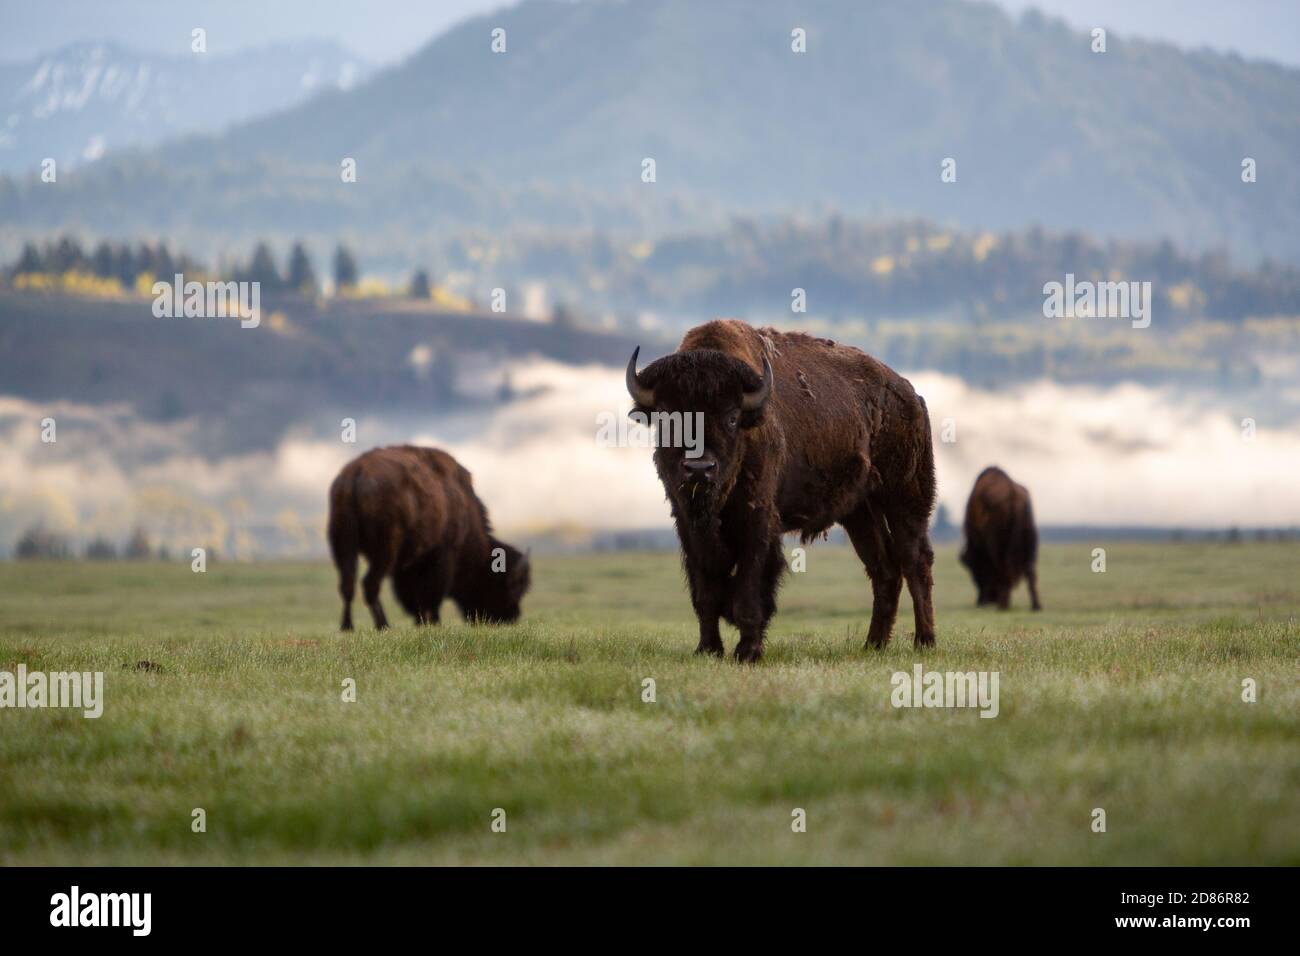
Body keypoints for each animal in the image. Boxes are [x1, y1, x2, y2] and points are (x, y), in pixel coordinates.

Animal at [327, 445, 530, 629]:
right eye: (513, 587)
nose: (511, 617)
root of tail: (356, 472)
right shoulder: (444, 556)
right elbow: (430, 594)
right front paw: (432, 622)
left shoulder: (408, 566)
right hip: (383, 552)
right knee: (369, 584)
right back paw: (383, 626)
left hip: (344, 545)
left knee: (347, 584)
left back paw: (347, 627)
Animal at [627, 319, 937, 661]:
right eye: (667, 417)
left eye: (732, 417)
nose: (699, 469)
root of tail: (911, 395)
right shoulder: (687, 523)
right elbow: (705, 593)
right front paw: (708, 649)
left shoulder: (758, 521)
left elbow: (750, 590)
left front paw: (748, 651)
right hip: (860, 512)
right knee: (884, 569)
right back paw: (873, 644)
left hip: (905, 497)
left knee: (915, 561)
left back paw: (924, 642)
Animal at [959, 466, 1041, 610]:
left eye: (973, 567)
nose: (987, 600)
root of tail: (1013, 493)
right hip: (1030, 540)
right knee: (1030, 571)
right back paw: (1035, 606)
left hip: (998, 546)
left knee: (1003, 569)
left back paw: (1003, 605)